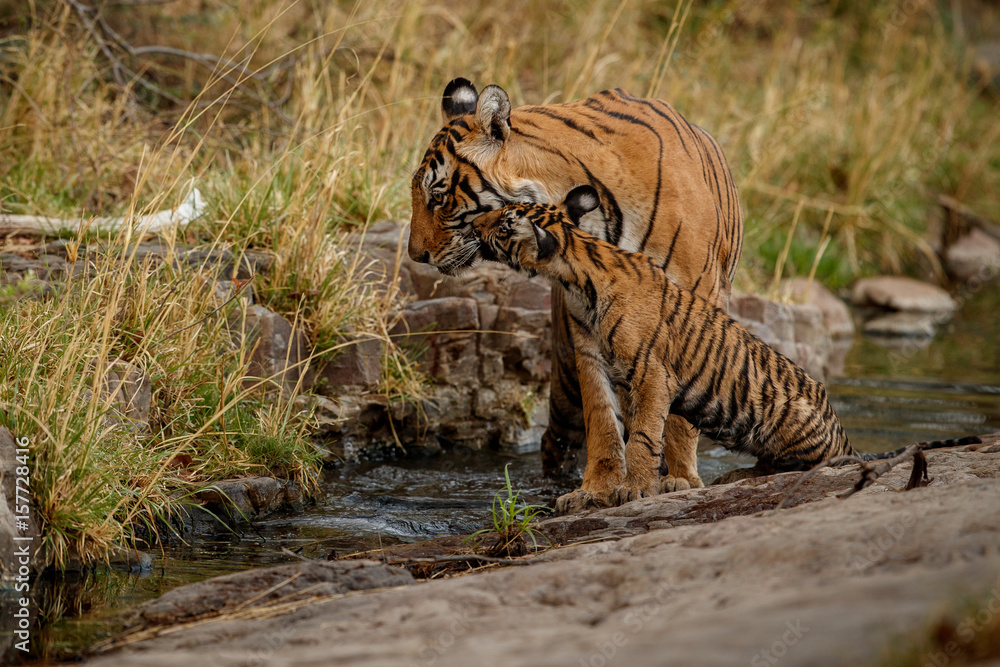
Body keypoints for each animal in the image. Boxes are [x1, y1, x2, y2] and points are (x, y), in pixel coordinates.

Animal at [409, 77, 744, 499]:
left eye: (437, 198)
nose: (415, 255)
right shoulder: (583, 314)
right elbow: (600, 410)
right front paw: (596, 489)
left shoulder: (694, 297)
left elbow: (677, 419)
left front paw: (680, 478)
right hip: (566, 380)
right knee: (556, 439)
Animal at [473, 188, 983, 513]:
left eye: (504, 222)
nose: (475, 220)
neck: (576, 278)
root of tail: (843, 433)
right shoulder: (593, 363)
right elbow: (603, 429)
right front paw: (588, 494)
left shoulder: (652, 373)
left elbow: (641, 438)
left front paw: (633, 490)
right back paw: (730, 479)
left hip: (788, 416)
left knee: (809, 465)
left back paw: (736, 479)